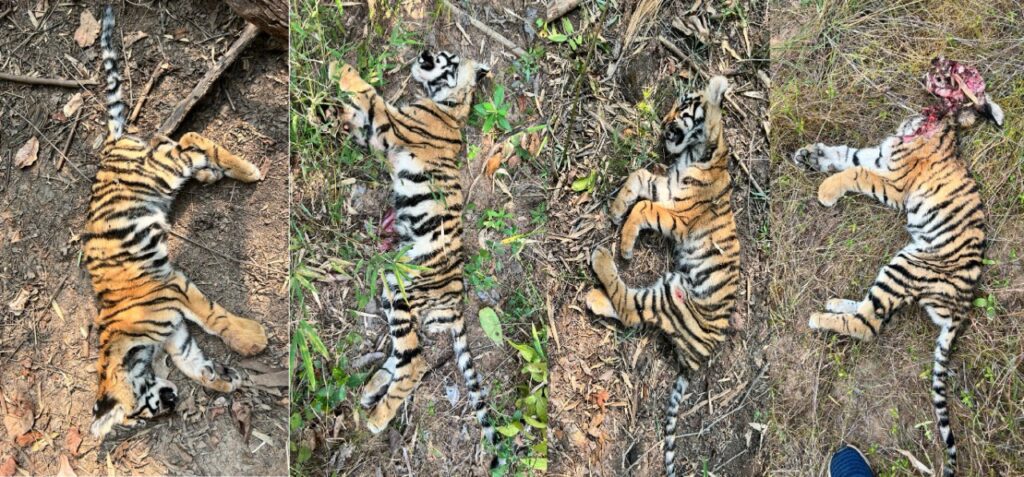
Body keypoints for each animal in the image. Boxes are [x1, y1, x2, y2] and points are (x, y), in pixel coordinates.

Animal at [84, 5, 268, 438]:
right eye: (145, 414)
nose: (169, 402)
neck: (127, 346)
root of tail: (111, 145)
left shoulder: (175, 288)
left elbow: (216, 317)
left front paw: (252, 340)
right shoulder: (176, 335)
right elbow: (192, 363)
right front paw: (223, 379)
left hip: (160, 172)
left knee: (191, 140)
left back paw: (246, 170)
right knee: (178, 144)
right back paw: (211, 175)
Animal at [318, 51, 498, 466]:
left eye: (449, 59)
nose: (426, 53)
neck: (447, 104)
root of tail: (457, 301)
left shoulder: (393, 127)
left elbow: (370, 96)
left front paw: (340, 72)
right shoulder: (377, 138)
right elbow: (356, 114)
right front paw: (324, 110)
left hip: (402, 294)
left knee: (413, 364)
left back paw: (375, 419)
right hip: (392, 291)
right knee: (407, 358)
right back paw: (371, 391)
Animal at [584, 75, 739, 476]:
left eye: (682, 105)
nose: (663, 121)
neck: (694, 153)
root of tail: (700, 358)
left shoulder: (679, 214)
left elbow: (643, 208)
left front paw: (624, 242)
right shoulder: (665, 188)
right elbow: (638, 178)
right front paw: (614, 210)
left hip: (674, 299)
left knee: (630, 307)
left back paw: (603, 258)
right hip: (672, 291)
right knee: (633, 312)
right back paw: (594, 296)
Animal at [790, 57, 1004, 477]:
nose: (938, 64)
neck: (929, 127)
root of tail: (962, 308)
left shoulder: (895, 183)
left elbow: (853, 172)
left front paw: (825, 191)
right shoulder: (874, 155)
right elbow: (842, 154)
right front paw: (808, 155)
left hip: (907, 264)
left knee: (869, 324)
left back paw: (819, 318)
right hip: (901, 266)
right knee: (870, 310)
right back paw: (835, 305)